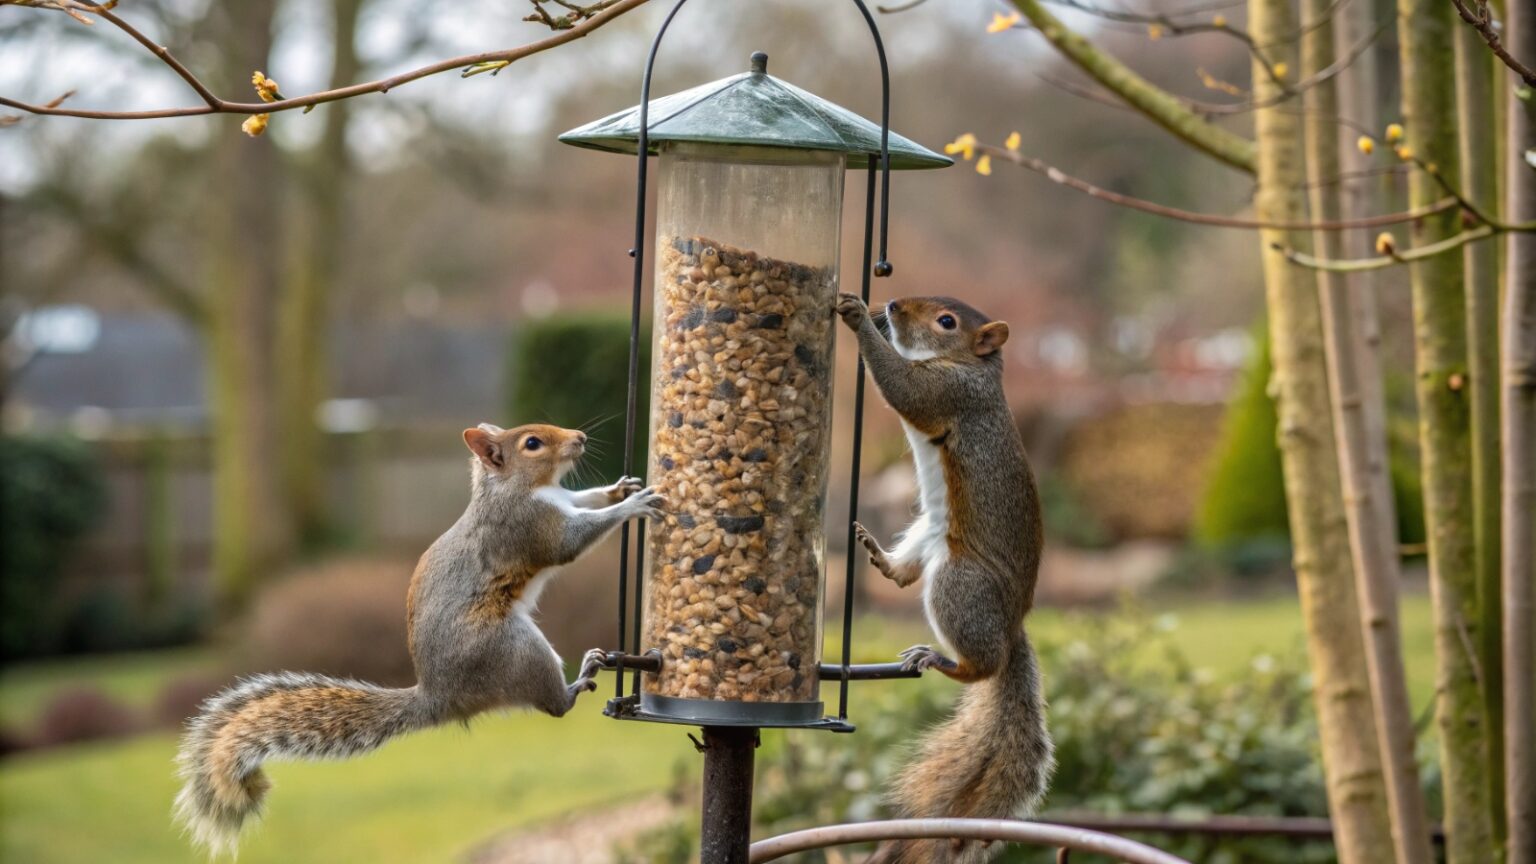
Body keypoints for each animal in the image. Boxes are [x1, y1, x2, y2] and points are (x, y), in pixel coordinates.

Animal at [174, 422, 663, 856]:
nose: (580, 438)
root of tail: (441, 695)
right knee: (555, 705)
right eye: (532, 443)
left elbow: (584, 498)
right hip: (515, 649)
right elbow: (570, 541)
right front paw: (630, 506)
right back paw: (580, 677)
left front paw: (618, 489)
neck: (518, 488)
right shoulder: (528, 527)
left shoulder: (563, 499)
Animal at [834, 293, 1055, 864]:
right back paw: (881, 558)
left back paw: (943, 660)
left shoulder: (950, 394)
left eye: (947, 322)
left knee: (981, 665)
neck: (969, 366)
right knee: (905, 578)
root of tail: (1012, 624)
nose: (891, 303)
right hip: (925, 536)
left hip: (958, 582)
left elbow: (902, 387)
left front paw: (858, 318)